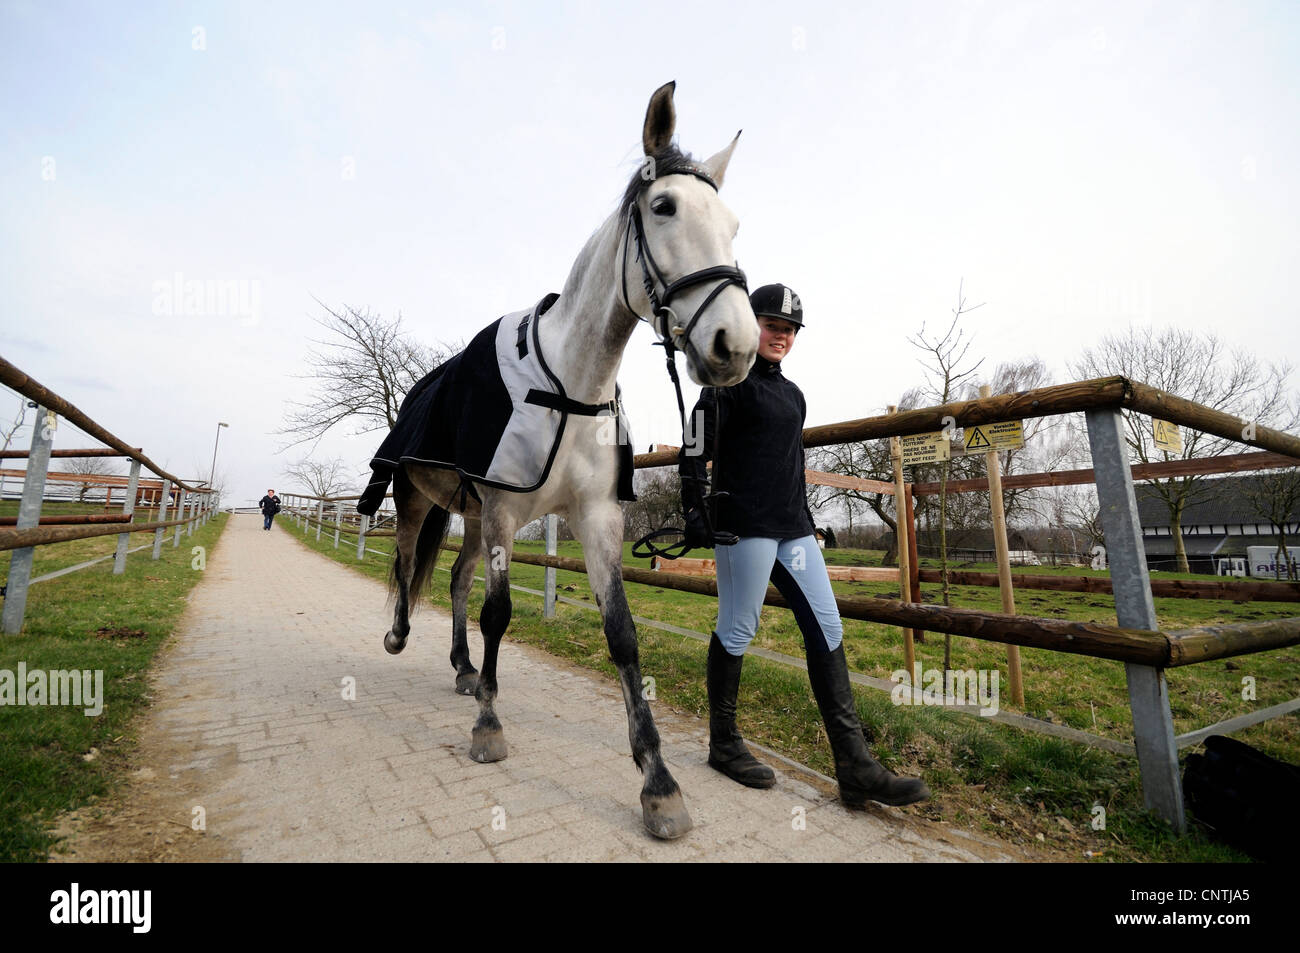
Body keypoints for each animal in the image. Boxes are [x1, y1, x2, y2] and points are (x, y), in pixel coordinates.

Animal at [360, 82, 758, 840]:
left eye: (734, 223)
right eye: (664, 207)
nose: (737, 346)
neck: (572, 384)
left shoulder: (595, 518)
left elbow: (622, 635)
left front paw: (659, 784)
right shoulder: (504, 509)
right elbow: (499, 613)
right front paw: (489, 727)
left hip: (473, 519)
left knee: (454, 579)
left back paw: (463, 668)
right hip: (421, 497)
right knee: (406, 559)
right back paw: (399, 636)